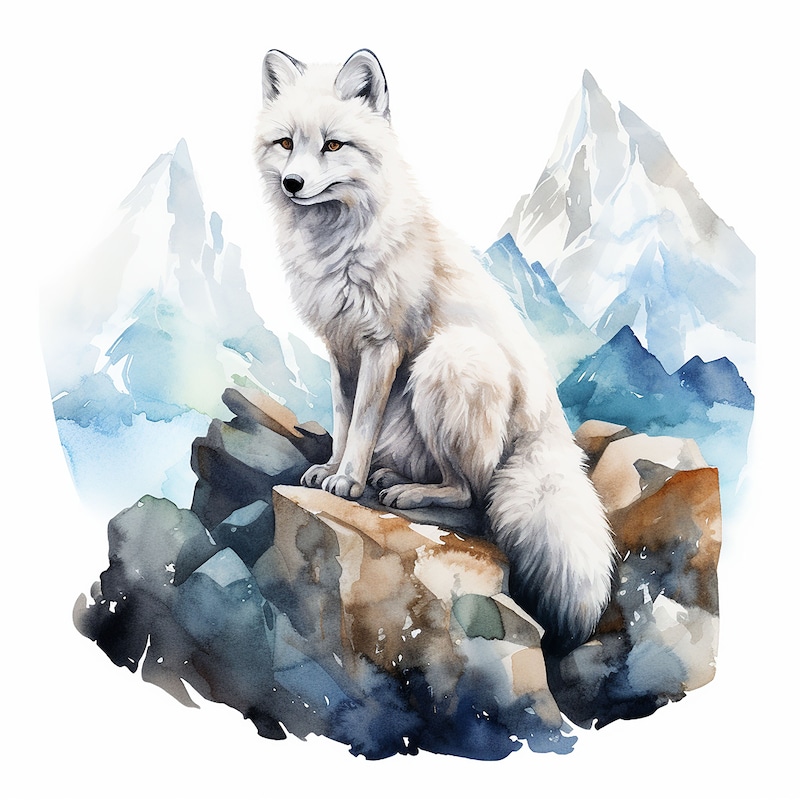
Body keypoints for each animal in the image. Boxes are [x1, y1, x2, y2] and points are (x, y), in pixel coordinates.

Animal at [254, 49, 615, 653]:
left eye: (333, 145)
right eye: (285, 143)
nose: (292, 182)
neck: (338, 244)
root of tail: (548, 426)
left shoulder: (383, 345)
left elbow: (363, 423)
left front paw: (346, 481)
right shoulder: (341, 349)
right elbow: (344, 417)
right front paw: (328, 467)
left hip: (447, 361)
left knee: (471, 492)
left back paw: (405, 491)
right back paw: (391, 479)